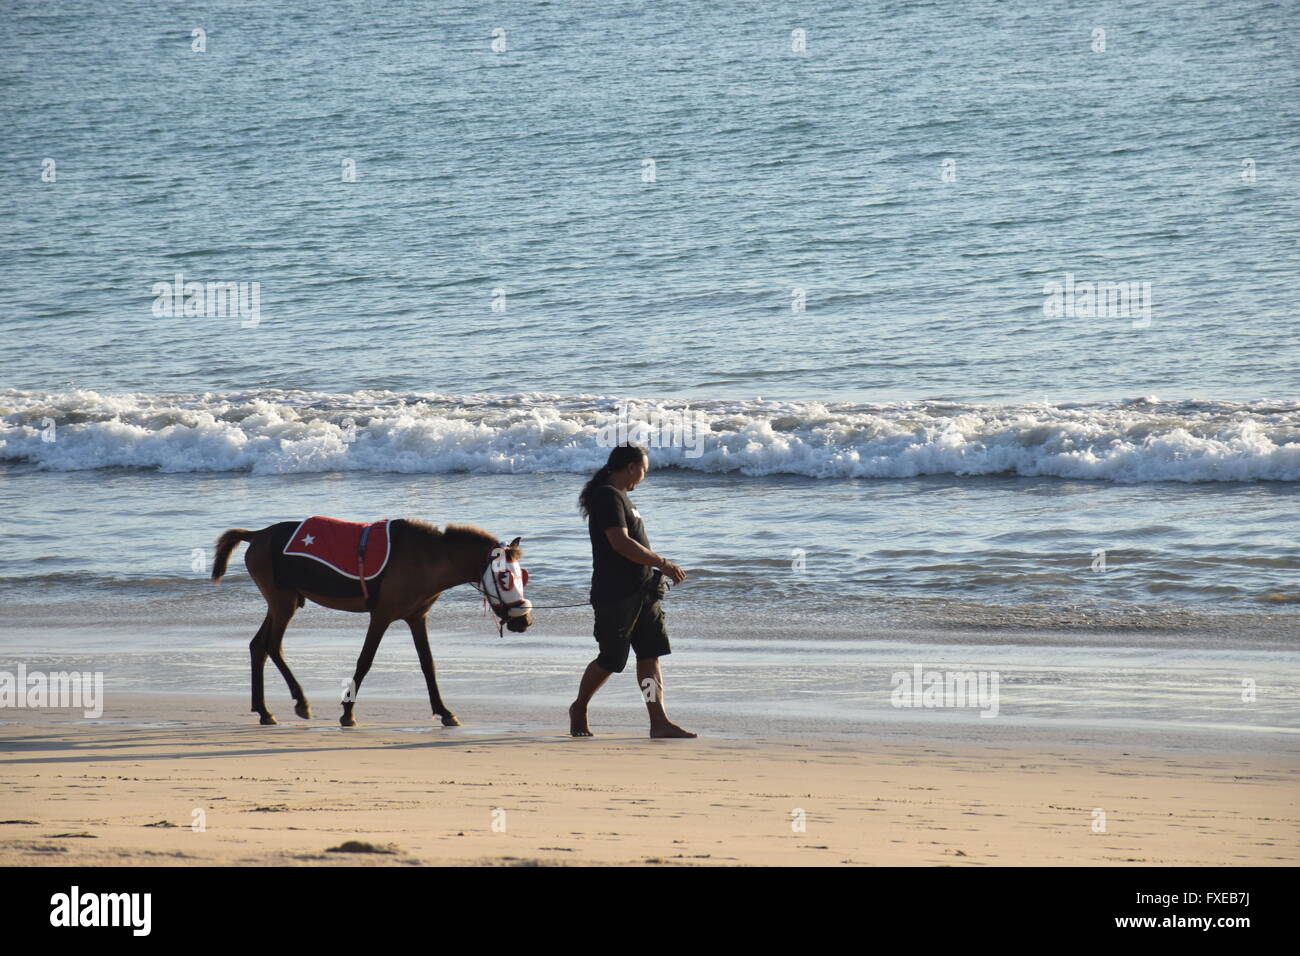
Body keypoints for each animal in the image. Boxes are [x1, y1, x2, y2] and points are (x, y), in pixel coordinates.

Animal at [210, 517, 532, 727]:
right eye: (505, 577)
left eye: (522, 575)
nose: (524, 619)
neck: (428, 557)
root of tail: (257, 535)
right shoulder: (382, 615)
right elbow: (365, 660)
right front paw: (347, 711)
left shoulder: (417, 617)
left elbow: (428, 664)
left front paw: (443, 710)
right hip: (283, 603)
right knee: (273, 646)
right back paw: (299, 701)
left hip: (279, 602)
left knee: (258, 646)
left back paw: (263, 710)